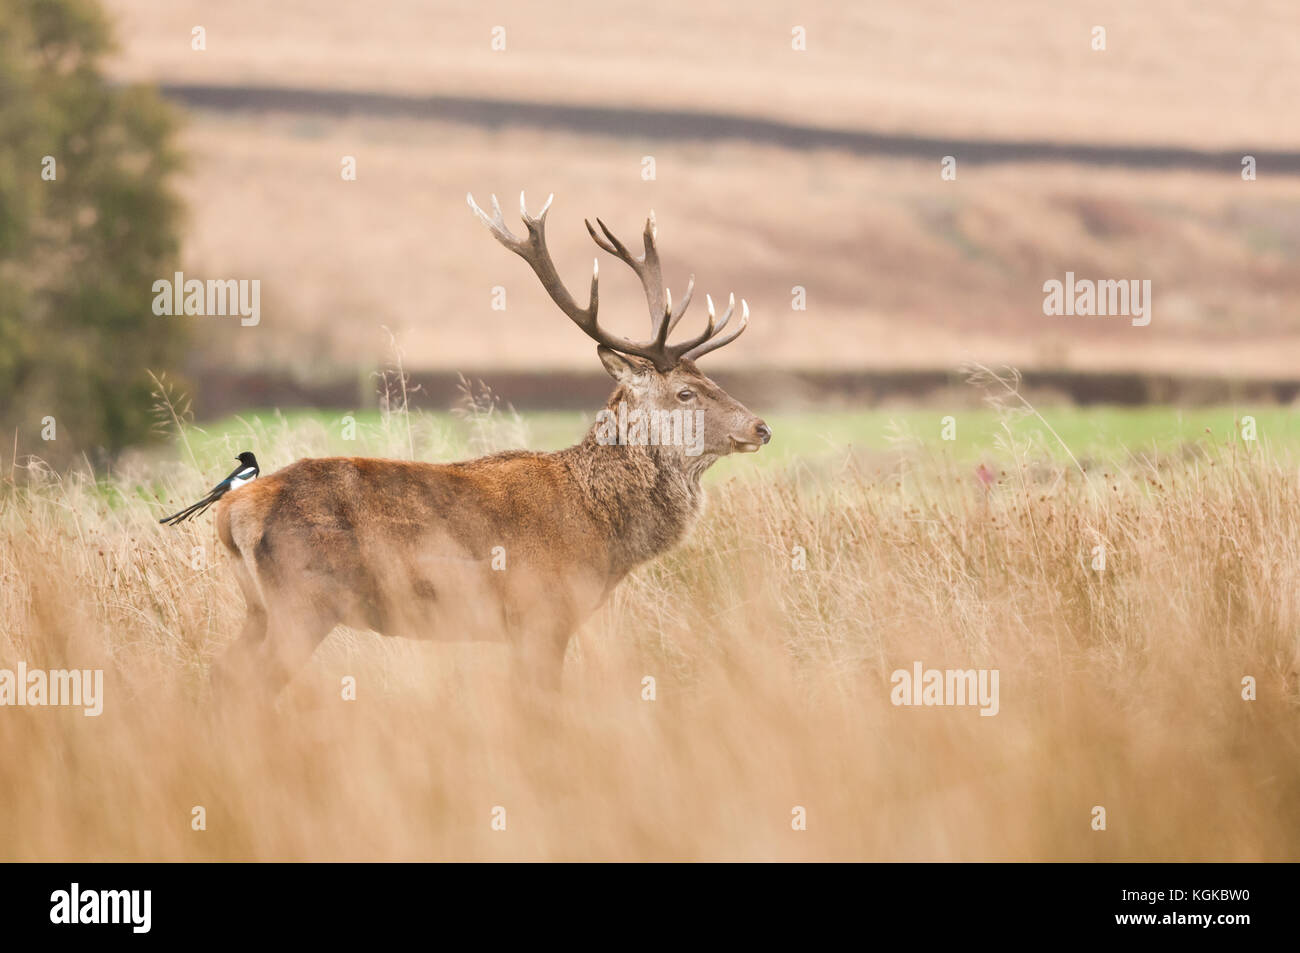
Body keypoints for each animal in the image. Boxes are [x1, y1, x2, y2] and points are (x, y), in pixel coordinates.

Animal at [206, 193, 770, 700]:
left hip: (259, 610)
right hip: (303, 602)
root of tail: (233, 513)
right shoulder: (542, 612)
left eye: (712, 379)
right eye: (686, 392)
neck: (602, 529)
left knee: (221, 675)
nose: (761, 428)